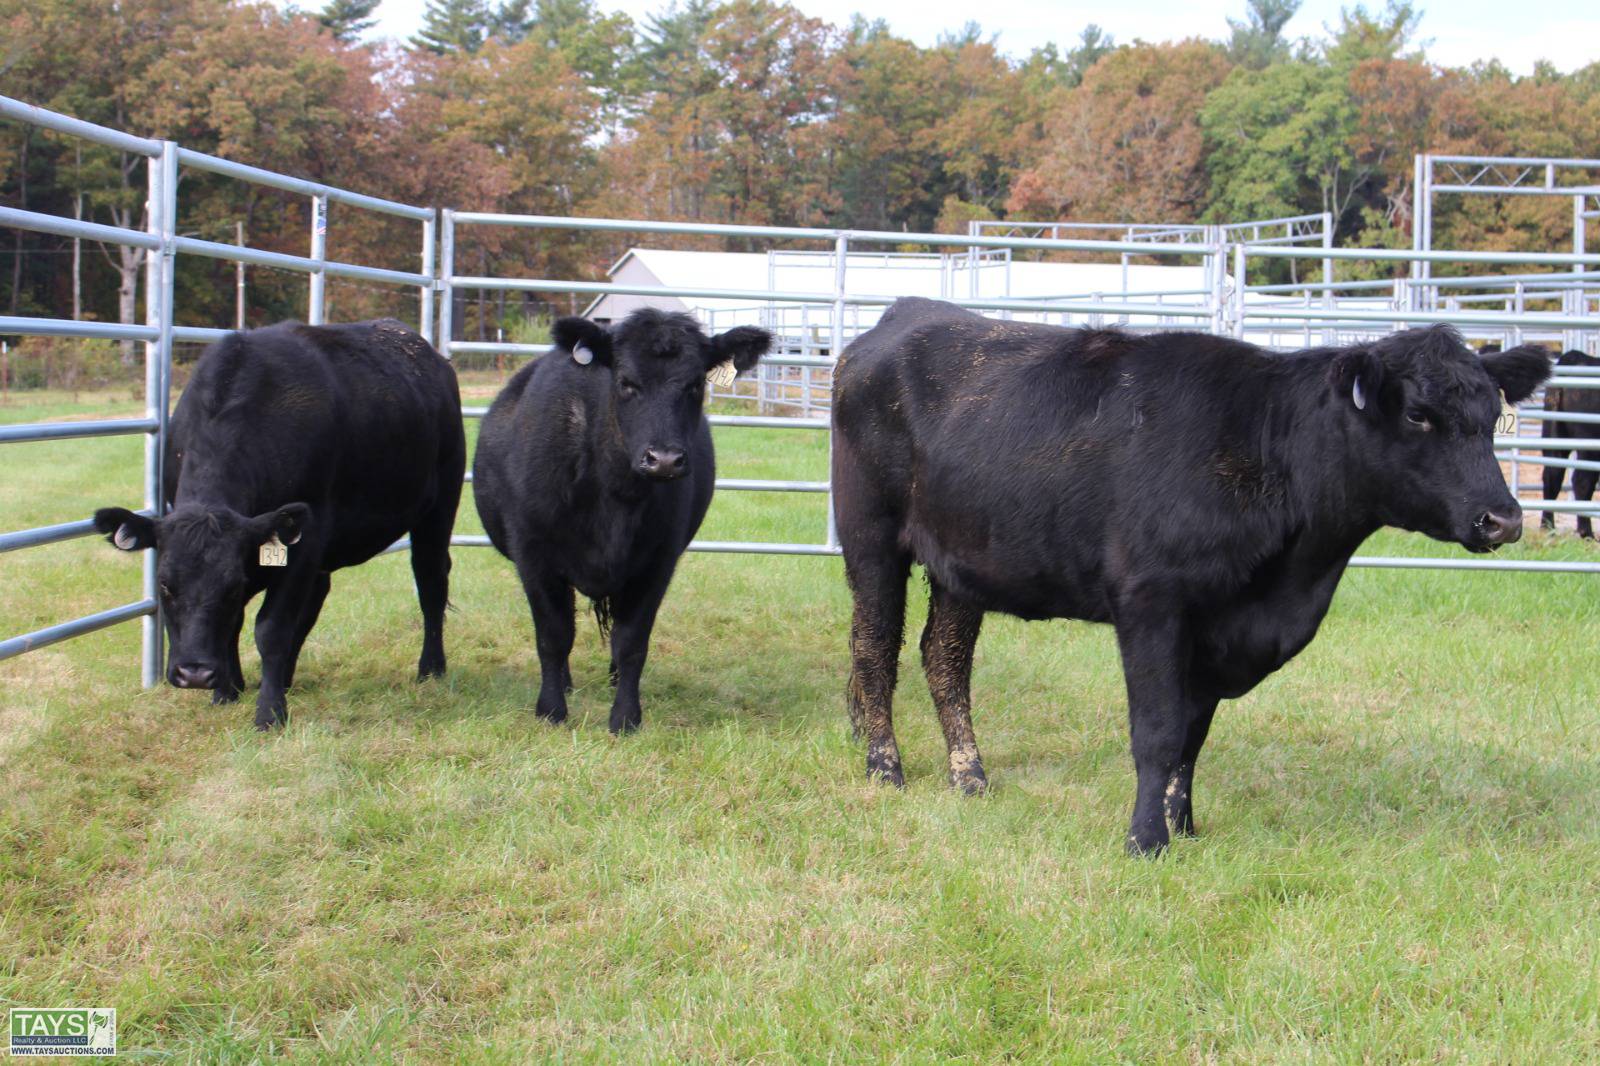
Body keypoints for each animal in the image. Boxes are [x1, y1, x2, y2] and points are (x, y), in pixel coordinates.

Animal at [92, 319, 466, 730]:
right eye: (163, 584)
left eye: (231, 585)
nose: (195, 673)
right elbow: (242, 622)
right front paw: (227, 691)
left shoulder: (304, 538)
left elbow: (271, 628)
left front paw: (269, 711)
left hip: (439, 506)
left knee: (431, 581)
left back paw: (431, 668)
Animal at [472, 309, 770, 734]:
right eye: (626, 382)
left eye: (695, 383)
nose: (664, 459)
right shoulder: (533, 555)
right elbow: (553, 635)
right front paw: (551, 710)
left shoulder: (657, 562)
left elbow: (631, 642)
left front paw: (626, 717)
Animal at [832, 298, 1551, 855]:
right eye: (1417, 415)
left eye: (1491, 418)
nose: (1504, 519)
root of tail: (902, 317)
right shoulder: (1152, 602)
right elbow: (1156, 732)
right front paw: (1146, 840)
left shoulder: (1218, 624)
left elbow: (1191, 736)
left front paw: (1184, 825)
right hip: (870, 537)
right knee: (873, 651)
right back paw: (885, 770)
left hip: (961, 561)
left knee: (944, 659)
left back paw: (970, 777)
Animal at [1539, 350, 1600, 538]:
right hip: (1589, 444)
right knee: (1582, 481)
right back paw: (1586, 532)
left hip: (1554, 435)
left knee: (1552, 476)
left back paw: (1548, 526)